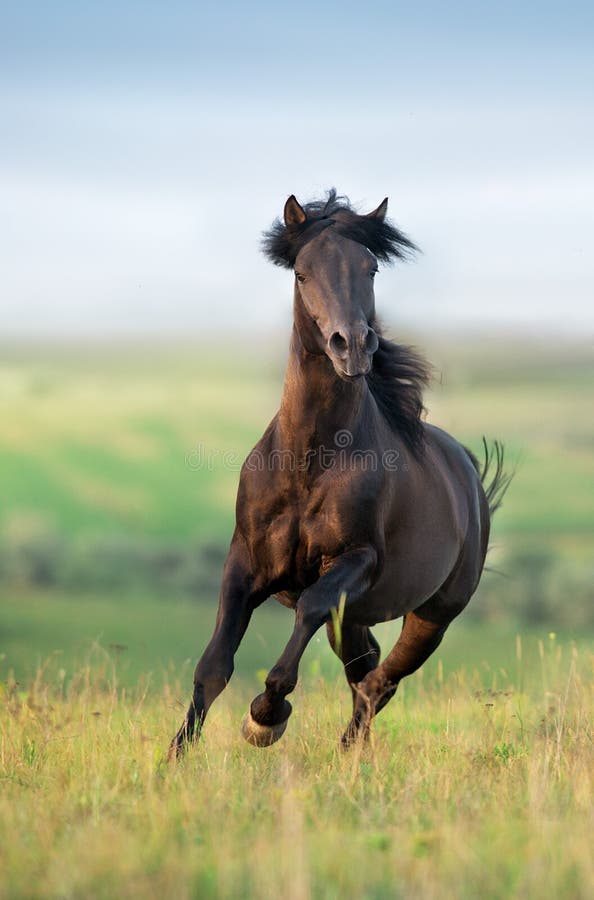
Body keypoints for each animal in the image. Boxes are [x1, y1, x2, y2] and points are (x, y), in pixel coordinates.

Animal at [169, 189, 510, 757]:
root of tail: (469, 474)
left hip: (432, 614)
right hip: (357, 618)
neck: (310, 461)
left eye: (371, 268)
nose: (350, 345)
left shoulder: (357, 561)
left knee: (380, 681)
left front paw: (266, 716)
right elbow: (213, 665)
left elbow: (309, 607)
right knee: (365, 667)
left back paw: (348, 752)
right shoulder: (244, 562)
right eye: (302, 273)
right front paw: (175, 755)